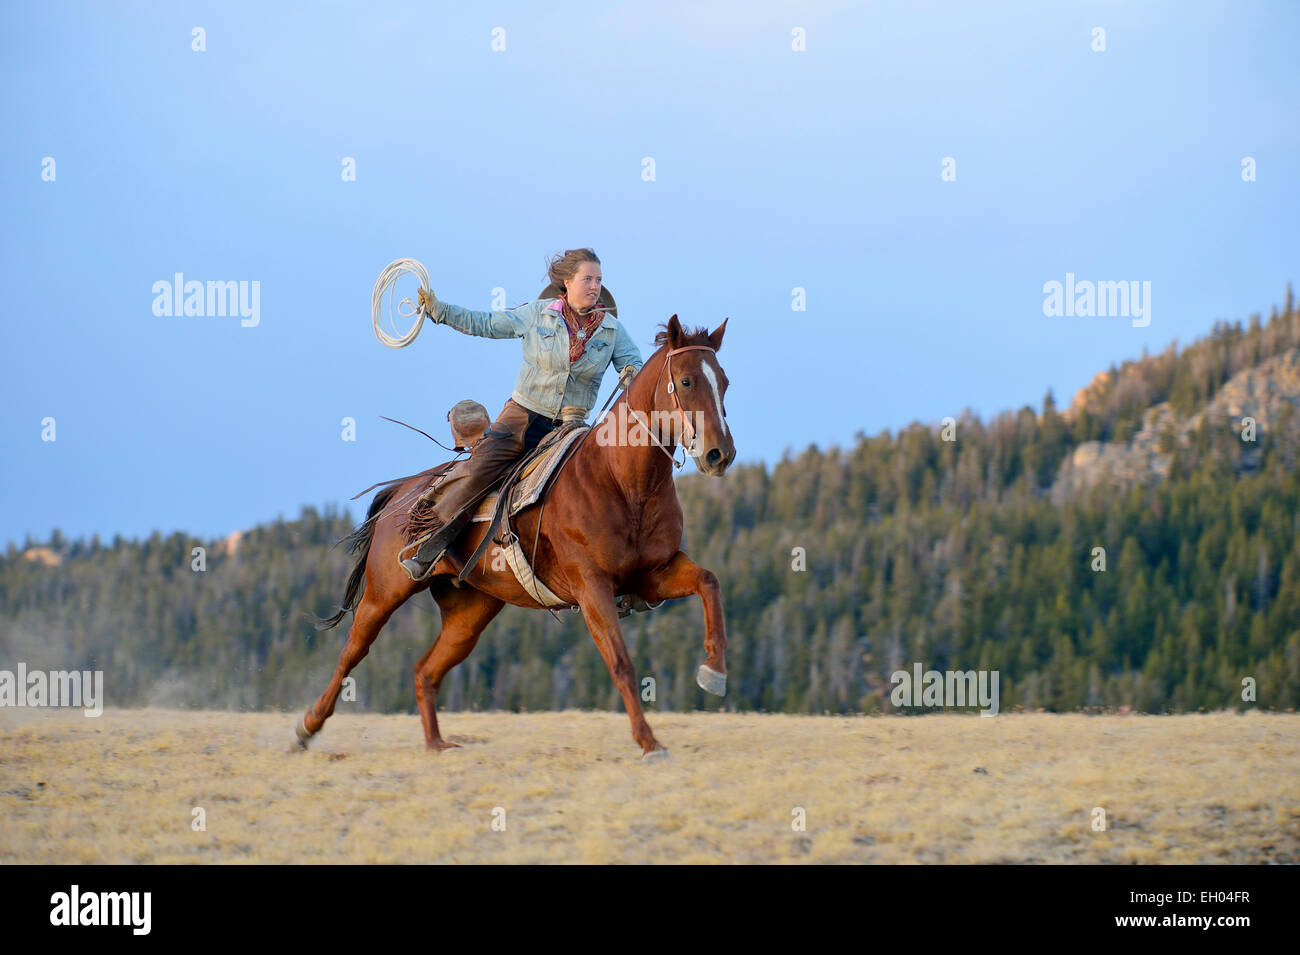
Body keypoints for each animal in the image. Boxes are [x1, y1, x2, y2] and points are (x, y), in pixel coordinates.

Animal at [299, 315, 736, 761]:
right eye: (685, 381)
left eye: (724, 381)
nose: (720, 454)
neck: (623, 482)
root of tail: (403, 490)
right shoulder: (592, 587)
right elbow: (621, 662)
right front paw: (649, 743)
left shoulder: (655, 574)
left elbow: (709, 582)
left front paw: (714, 672)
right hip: (384, 592)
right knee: (352, 651)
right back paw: (308, 727)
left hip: (470, 613)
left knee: (425, 670)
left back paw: (438, 744)